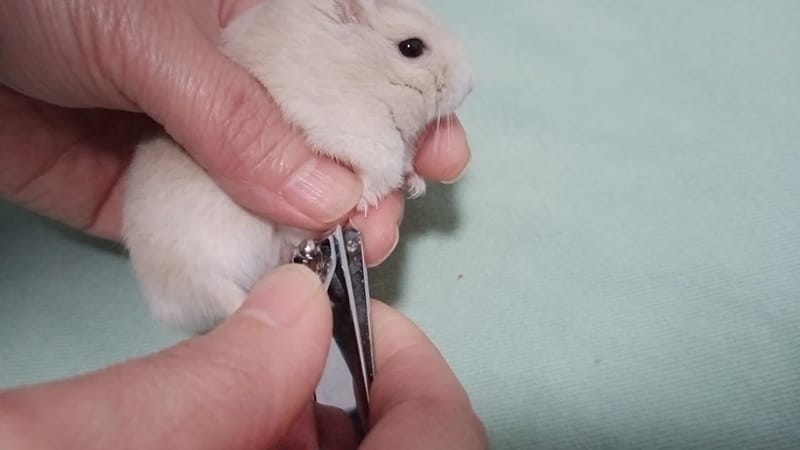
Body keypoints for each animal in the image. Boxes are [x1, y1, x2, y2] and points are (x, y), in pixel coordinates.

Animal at [122, 0, 474, 334]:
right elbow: (373, 170)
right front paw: (364, 202)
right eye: (411, 47)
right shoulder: (359, 137)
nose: (470, 85)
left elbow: (404, 167)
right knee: (226, 298)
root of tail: (159, 294)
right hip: (205, 259)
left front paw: (416, 187)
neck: (361, 72)